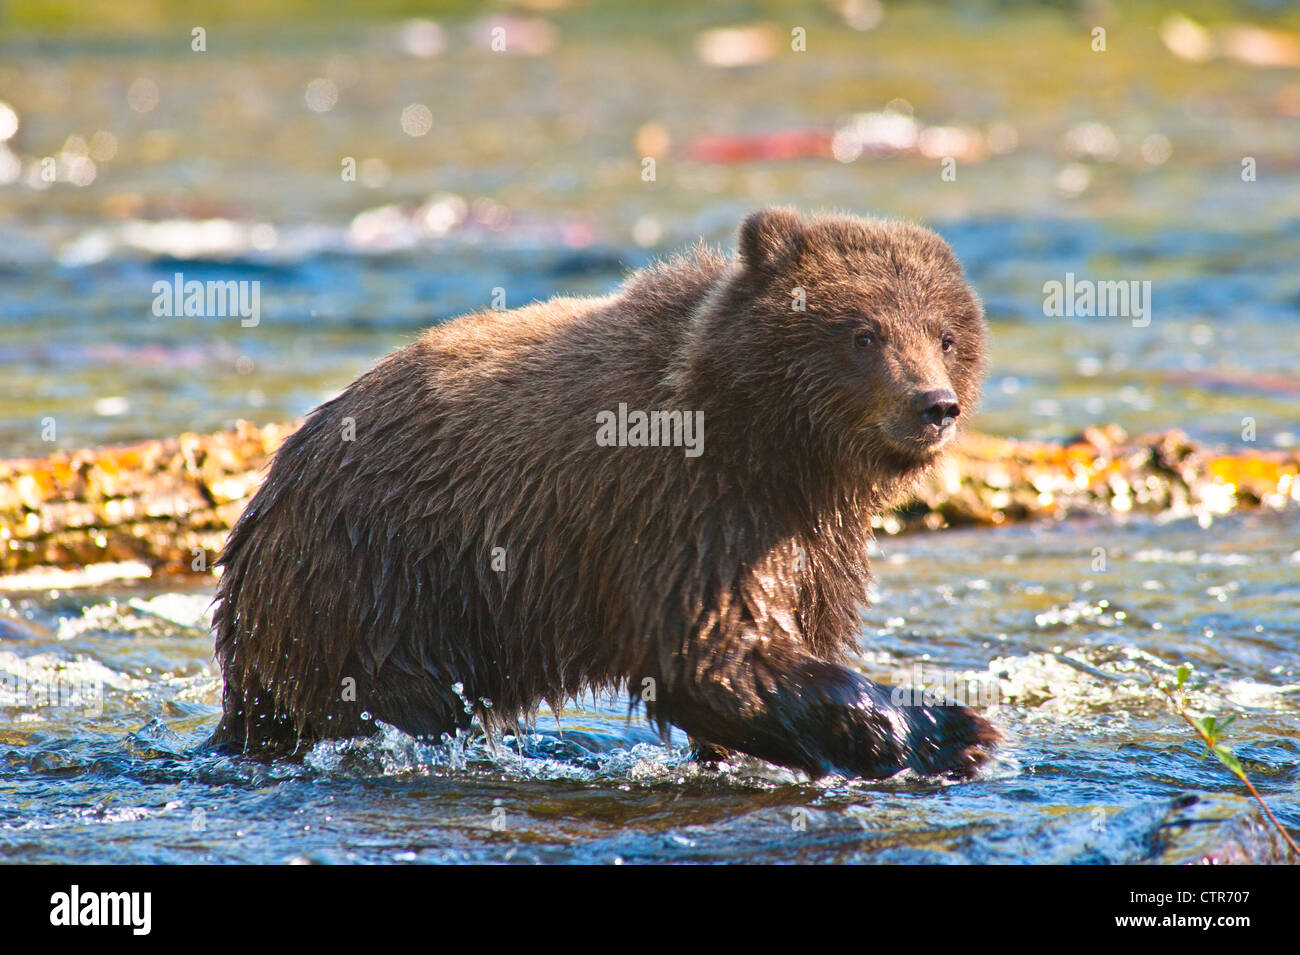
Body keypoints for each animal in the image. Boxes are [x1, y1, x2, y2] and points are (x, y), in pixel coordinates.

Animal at [210, 207, 998, 779]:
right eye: (863, 334)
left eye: (946, 335)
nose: (934, 404)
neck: (772, 445)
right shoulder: (683, 508)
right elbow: (711, 650)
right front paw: (946, 728)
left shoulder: (809, 539)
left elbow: (782, 636)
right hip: (381, 584)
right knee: (396, 704)